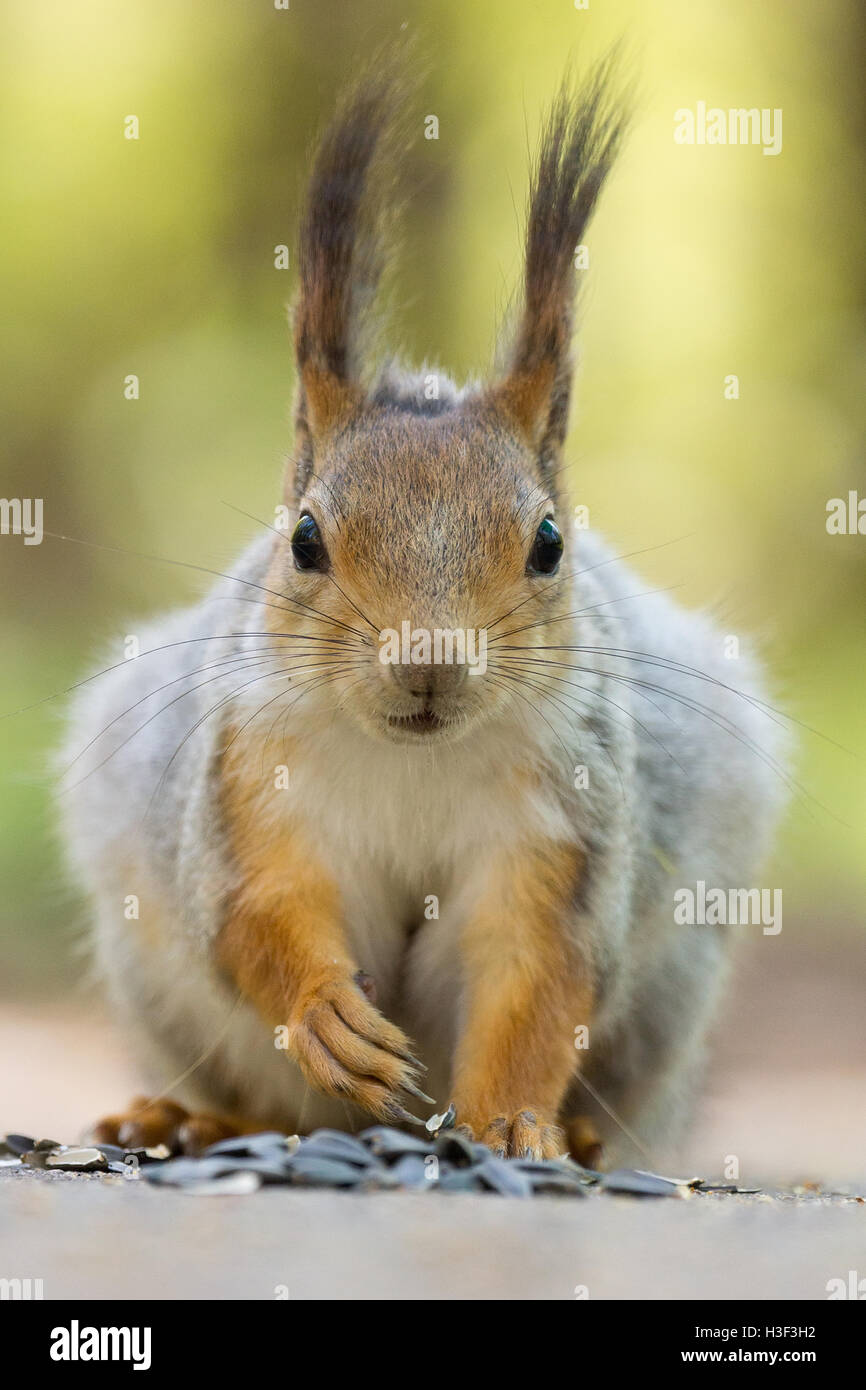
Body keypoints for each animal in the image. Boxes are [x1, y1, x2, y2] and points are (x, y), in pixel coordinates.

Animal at [62, 60, 786, 1166]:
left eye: (548, 544)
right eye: (304, 539)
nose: (427, 664)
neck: (413, 757)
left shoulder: (566, 824)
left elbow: (536, 978)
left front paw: (515, 1125)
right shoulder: (246, 784)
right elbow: (255, 916)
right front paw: (322, 1012)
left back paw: (583, 1138)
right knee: (269, 1098)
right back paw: (193, 1116)